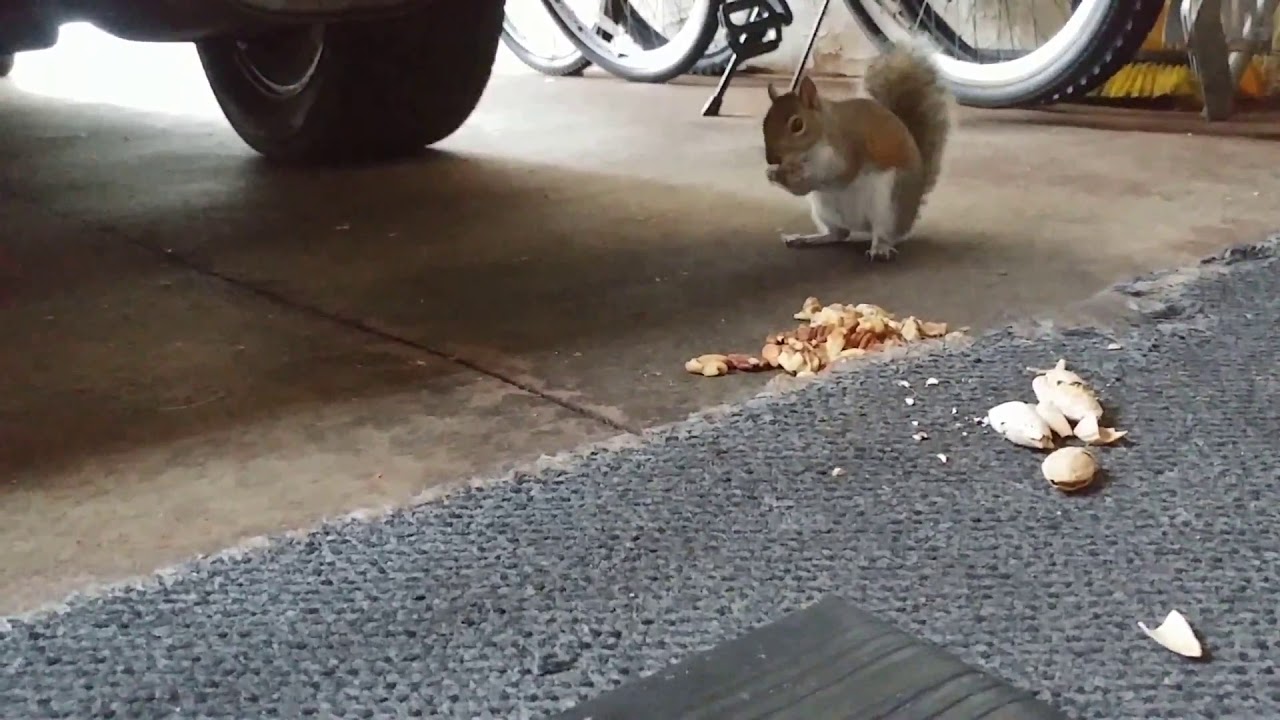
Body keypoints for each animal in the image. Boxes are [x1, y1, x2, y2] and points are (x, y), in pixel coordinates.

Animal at [762, 43, 951, 260]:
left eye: (797, 125)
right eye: (765, 121)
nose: (771, 159)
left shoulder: (848, 149)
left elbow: (837, 174)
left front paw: (797, 174)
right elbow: (800, 190)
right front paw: (773, 174)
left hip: (889, 205)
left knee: (884, 233)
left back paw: (881, 248)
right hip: (823, 210)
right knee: (838, 233)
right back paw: (805, 239)